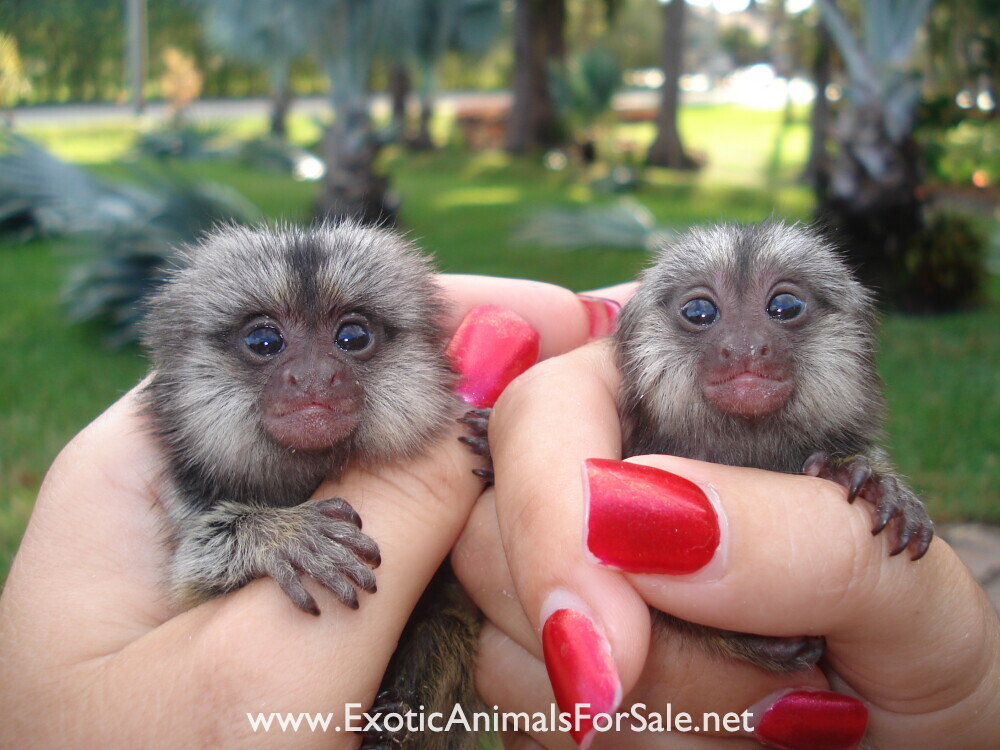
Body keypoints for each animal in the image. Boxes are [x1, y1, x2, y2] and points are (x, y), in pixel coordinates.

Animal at [140, 221, 480, 750]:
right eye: (263, 340)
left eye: (352, 336)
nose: (316, 377)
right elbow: (194, 572)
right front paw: (282, 535)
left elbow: (456, 613)